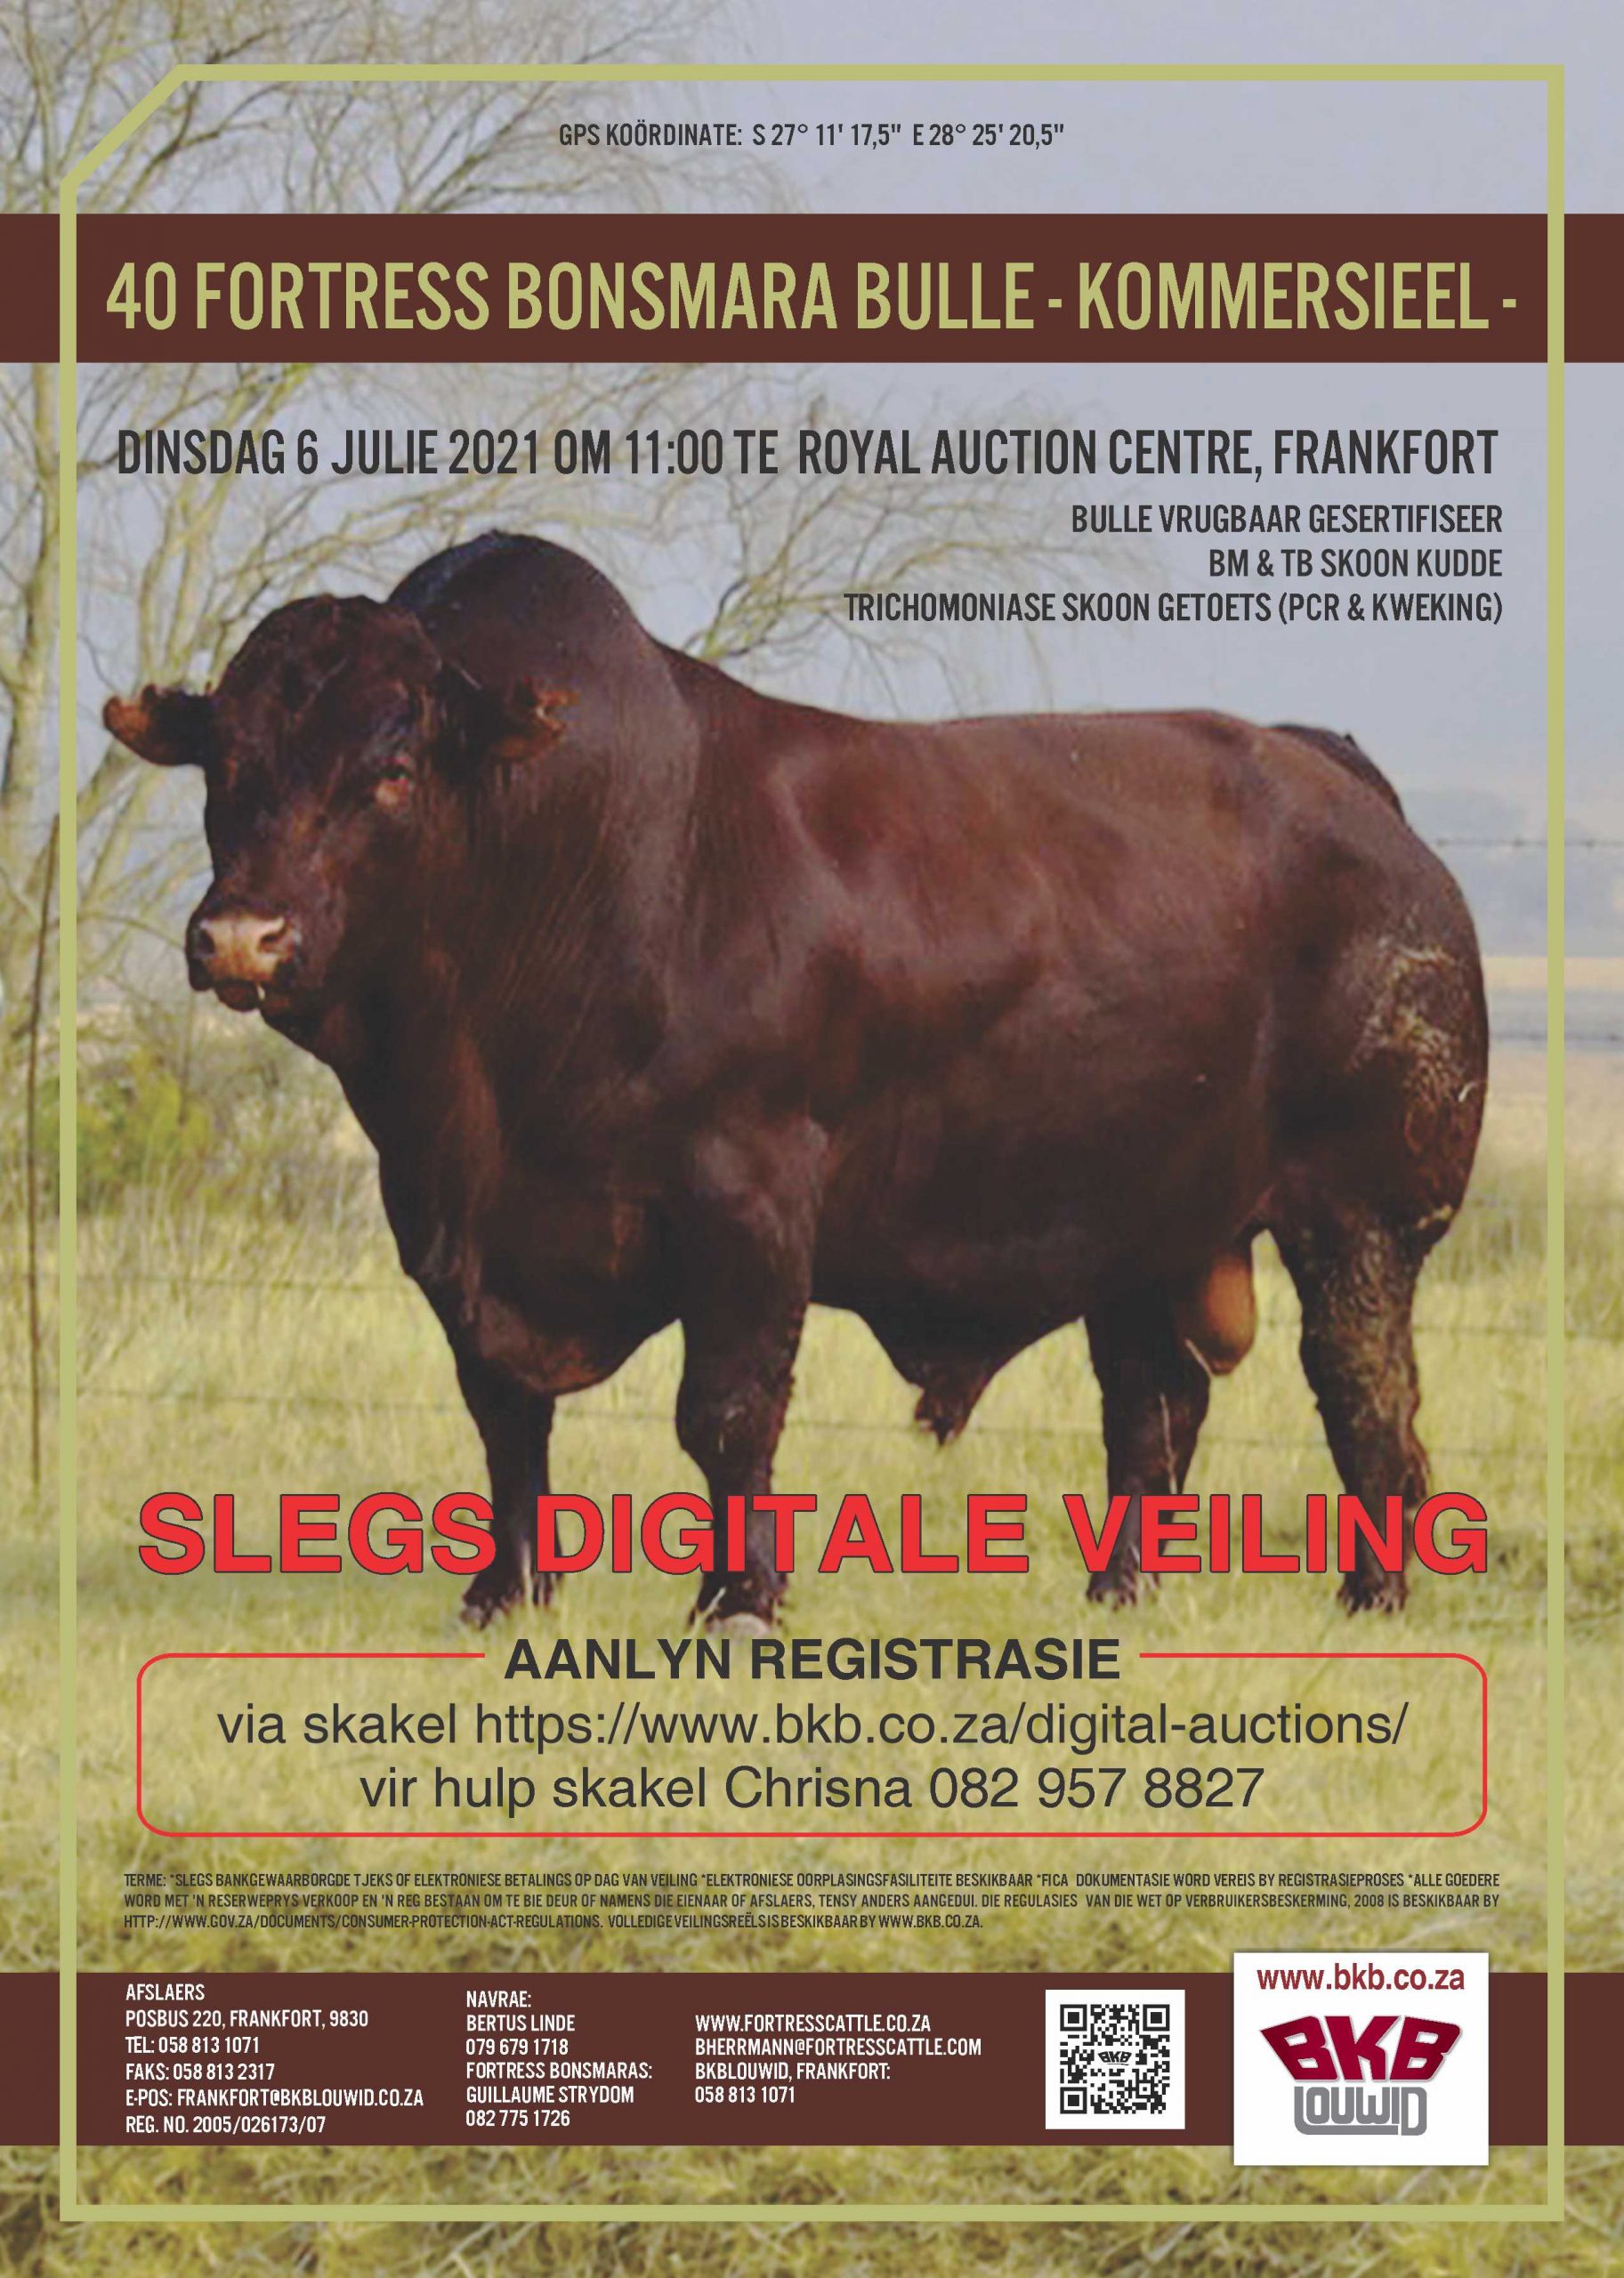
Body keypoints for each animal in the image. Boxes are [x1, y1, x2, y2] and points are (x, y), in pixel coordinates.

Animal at [104, 532, 1487, 1625]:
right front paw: (503, 1595)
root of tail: (1339, 781)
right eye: (227, 765)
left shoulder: (749, 1201)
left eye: (391, 769)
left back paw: (1370, 1598)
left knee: (1367, 1401)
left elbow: (725, 1414)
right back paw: (1120, 1593)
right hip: (1140, 1223)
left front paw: (738, 1601)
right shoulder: (444, 1229)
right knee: (1153, 1408)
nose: (241, 937)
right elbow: (504, 1418)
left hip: (1361, 1218)